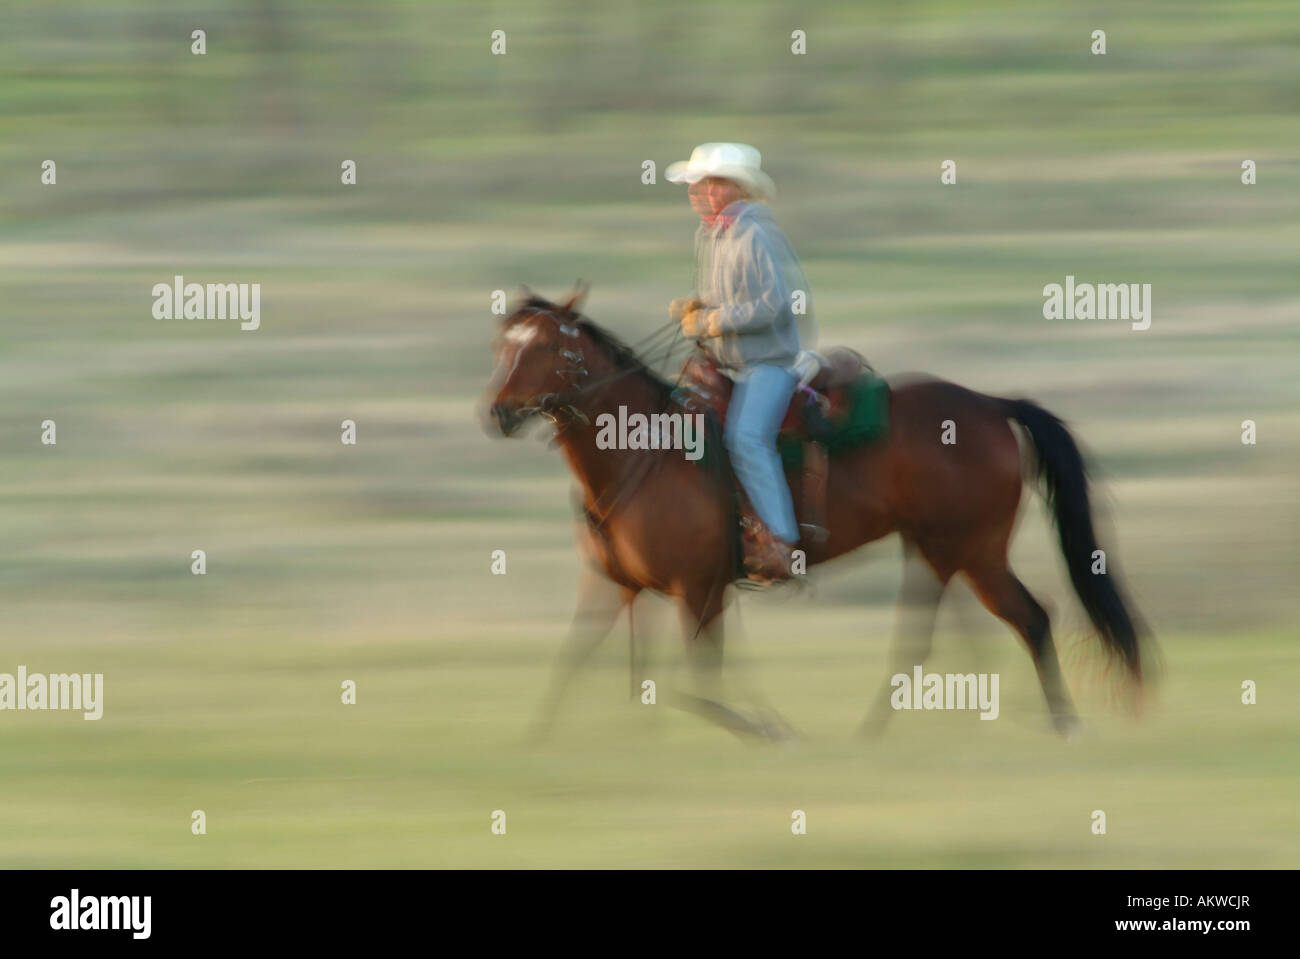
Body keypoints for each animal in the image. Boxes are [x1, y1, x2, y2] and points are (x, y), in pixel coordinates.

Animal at [482, 286, 1151, 741]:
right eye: (501, 346)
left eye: (546, 346)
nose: (497, 413)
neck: (643, 452)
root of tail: (990, 404)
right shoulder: (614, 588)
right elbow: (575, 666)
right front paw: (537, 745)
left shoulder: (697, 590)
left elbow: (693, 690)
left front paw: (771, 731)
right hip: (937, 549)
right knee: (940, 636)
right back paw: (881, 733)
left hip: (972, 550)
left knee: (1029, 619)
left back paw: (1059, 726)